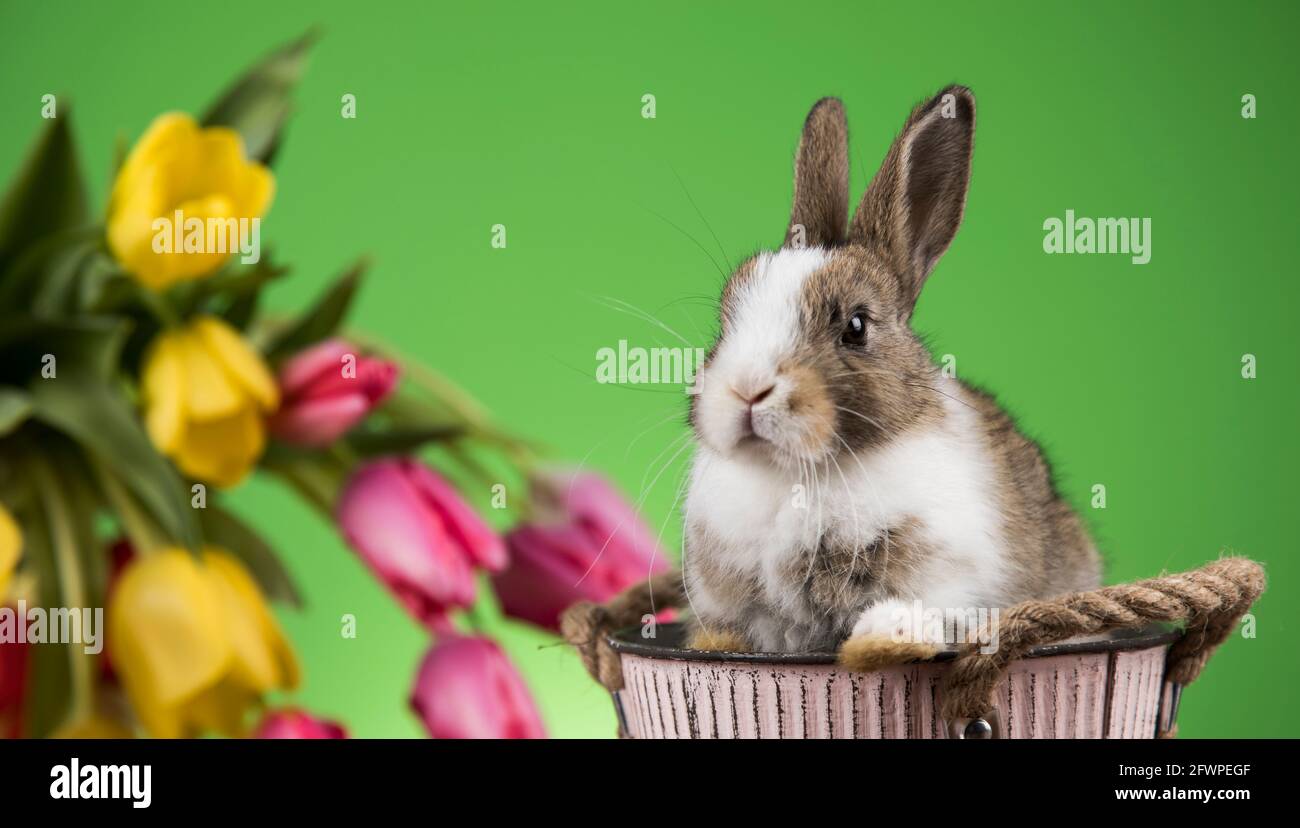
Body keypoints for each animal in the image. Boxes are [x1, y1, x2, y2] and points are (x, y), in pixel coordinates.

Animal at [682, 86, 1101, 654]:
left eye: (856, 326)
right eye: (726, 318)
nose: (747, 390)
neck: (795, 475)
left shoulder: (948, 576)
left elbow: (921, 610)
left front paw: (887, 634)